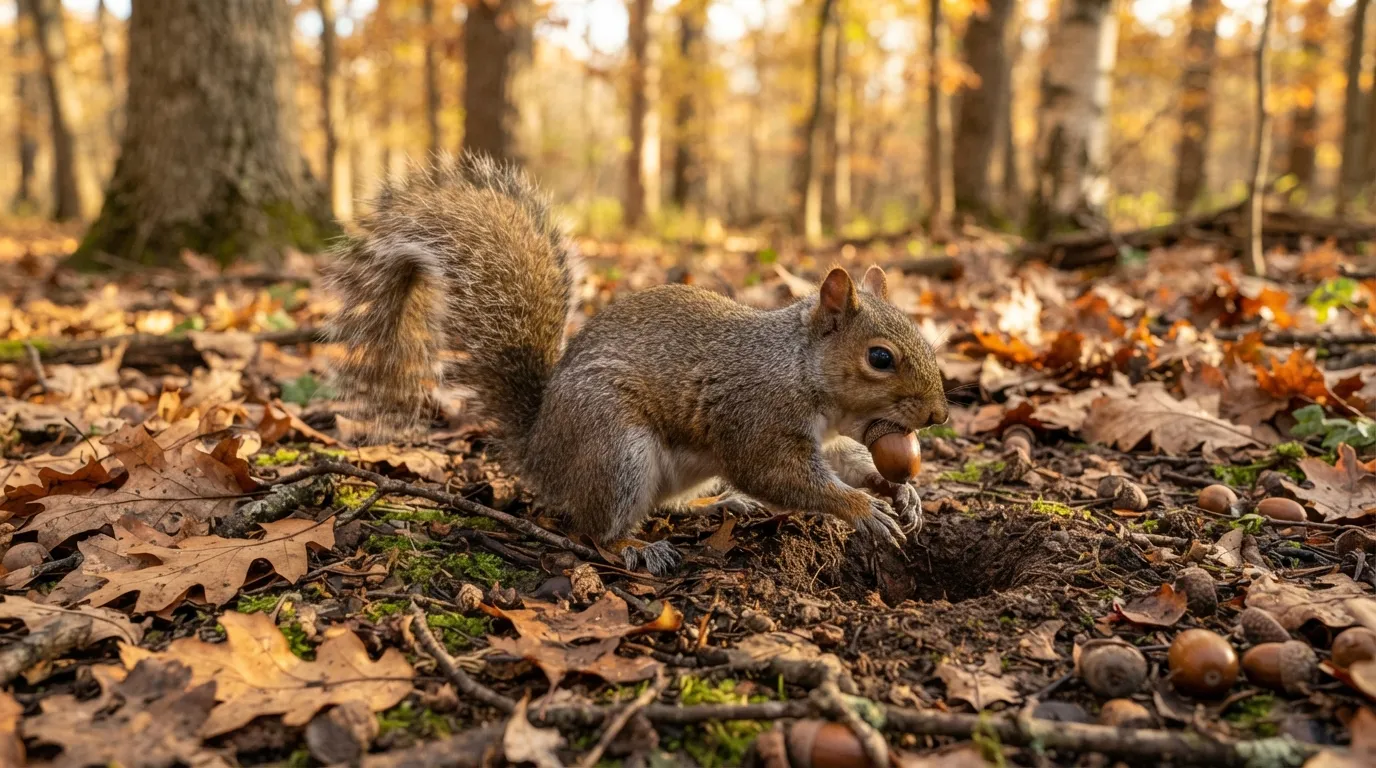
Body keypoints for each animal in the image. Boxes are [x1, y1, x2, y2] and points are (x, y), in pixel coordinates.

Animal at [323, 154, 949, 575]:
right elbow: (778, 475)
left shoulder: (822, 435)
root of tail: (541, 450)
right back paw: (636, 547)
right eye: (880, 358)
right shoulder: (757, 417)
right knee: (594, 528)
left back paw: (723, 503)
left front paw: (900, 493)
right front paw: (862, 508)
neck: (797, 367)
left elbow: (845, 460)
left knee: (667, 504)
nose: (940, 415)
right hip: (616, 449)